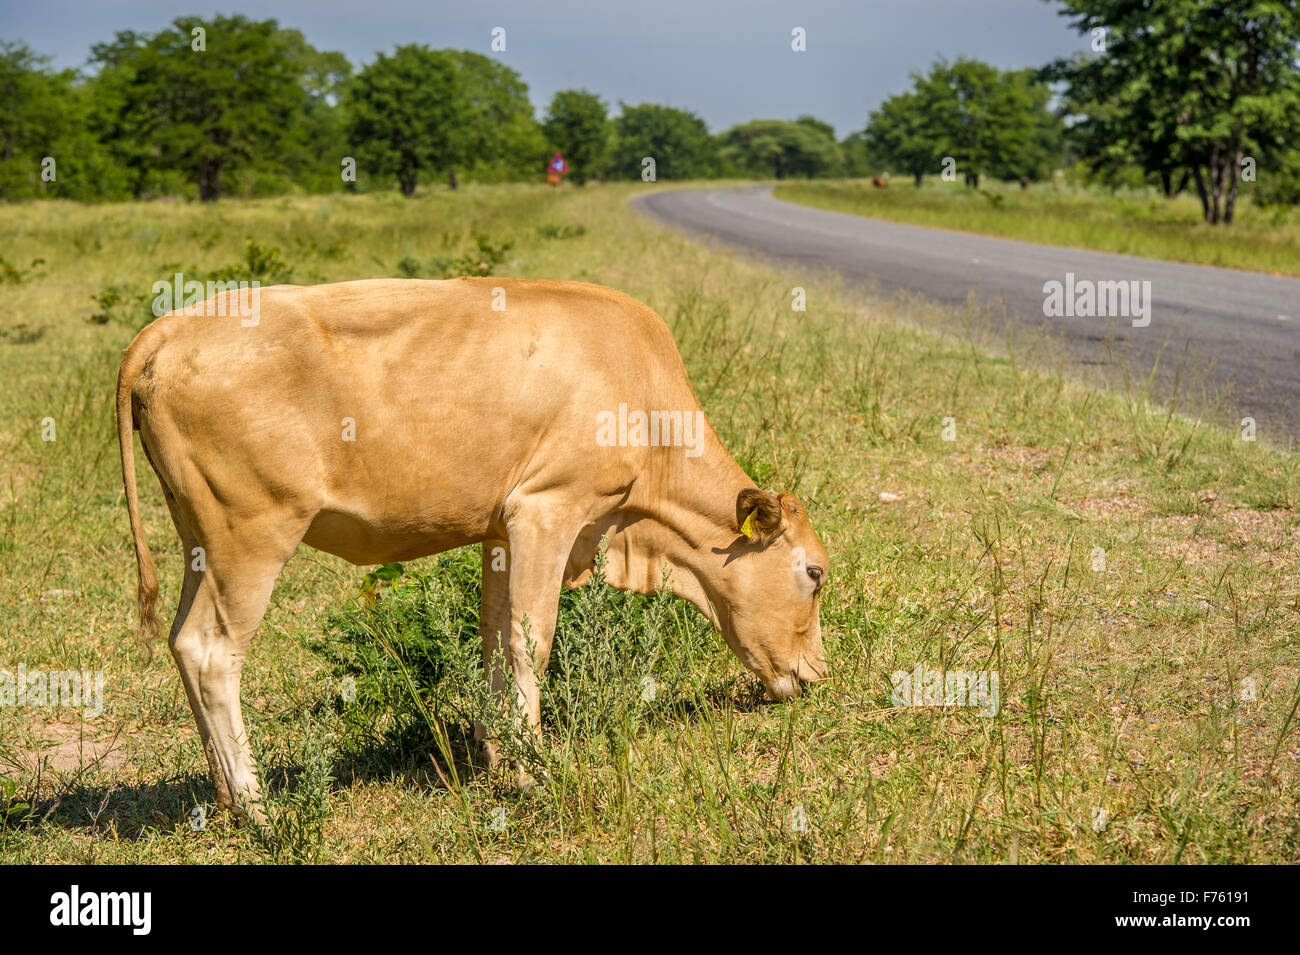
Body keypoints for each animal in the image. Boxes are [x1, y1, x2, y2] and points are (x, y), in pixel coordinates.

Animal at [116, 277, 830, 825]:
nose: (818, 672)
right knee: (212, 652)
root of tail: (172, 325)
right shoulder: (548, 508)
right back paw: (256, 806)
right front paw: (533, 770)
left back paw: (224, 797)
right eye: (814, 573)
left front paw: (495, 755)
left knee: (181, 640)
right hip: (251, 534)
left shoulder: (499, 531)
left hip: (198, 538)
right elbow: (531, 639)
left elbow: (492, 637)